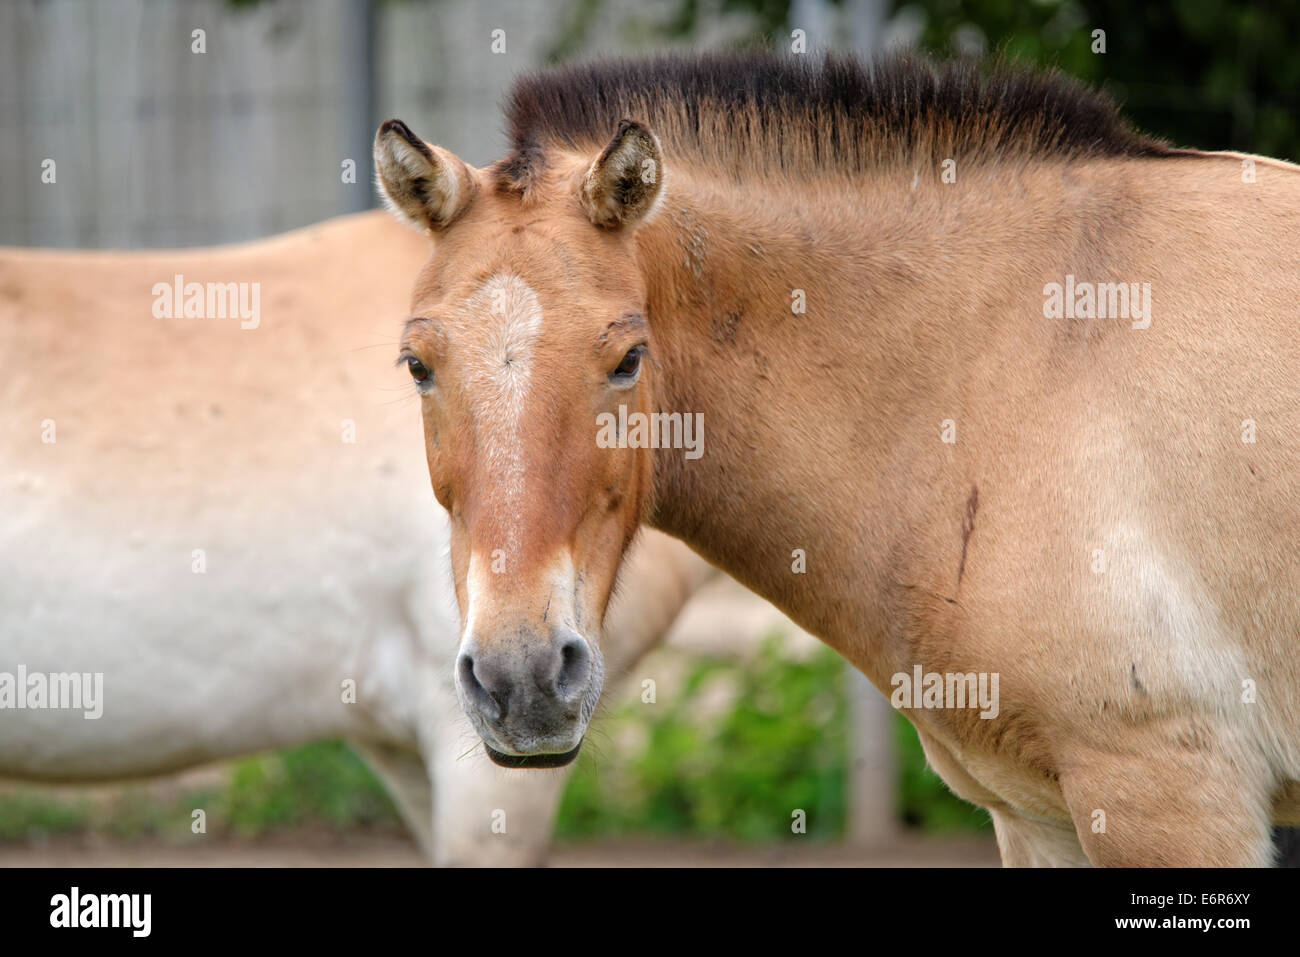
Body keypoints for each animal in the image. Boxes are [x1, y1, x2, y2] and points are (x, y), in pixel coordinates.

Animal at [374, 50, 1300, 866]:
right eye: (417, 364)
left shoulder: (1171, 798)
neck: (1032, 356)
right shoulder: (1041, 818)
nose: (522, 680)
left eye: (628, 358)